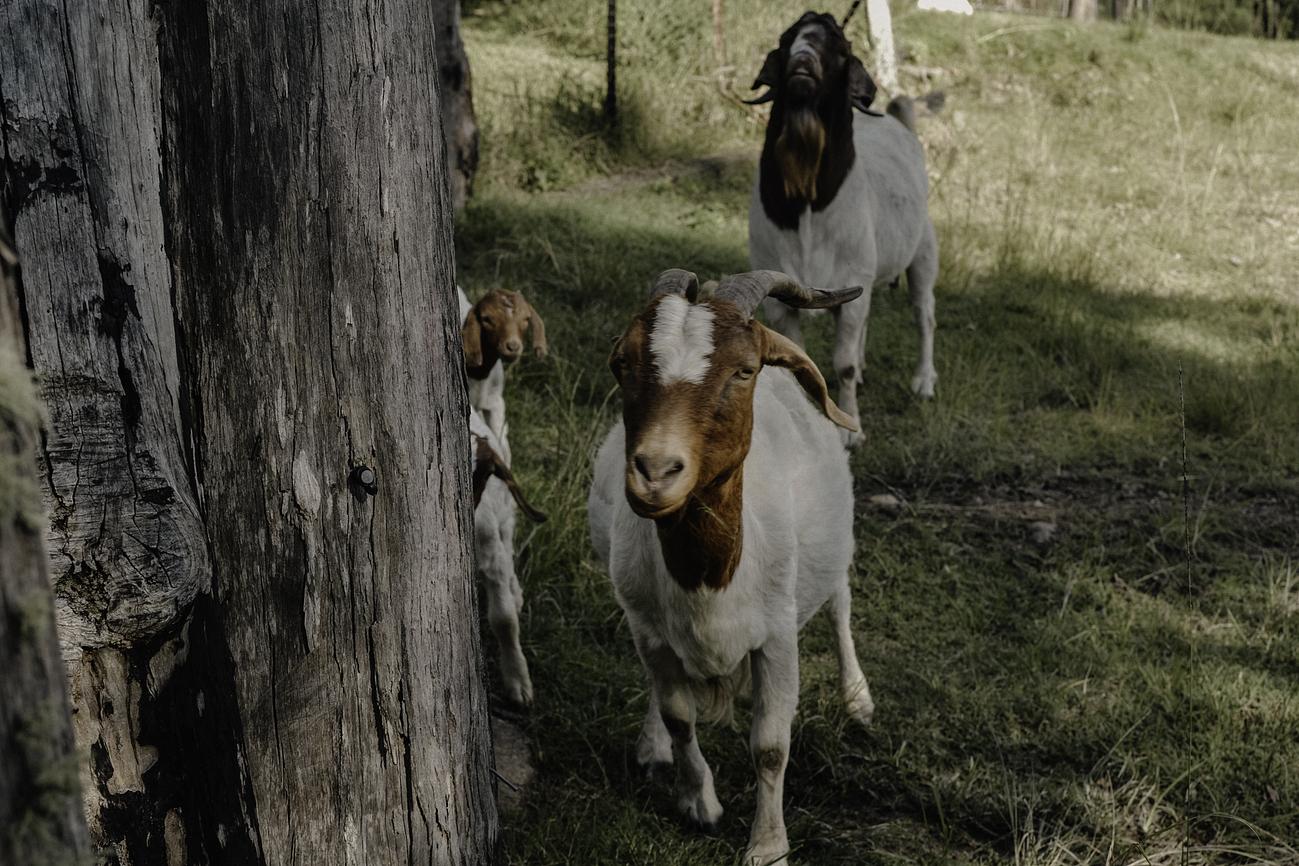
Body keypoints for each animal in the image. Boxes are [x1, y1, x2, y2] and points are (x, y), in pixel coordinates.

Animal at [459, 286, 547, 456]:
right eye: (486, 319)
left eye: (526, 318)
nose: (512, 347)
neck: (480, 375)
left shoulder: (495, 401)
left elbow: (502, 443)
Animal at [470, 407, 546, 706]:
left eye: (478, 476)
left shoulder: (491, 555)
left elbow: (504, 620)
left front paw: (518, 679)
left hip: (504, 518)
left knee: (509, 546)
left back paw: (515, 593)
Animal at [588, 269, 876, 866]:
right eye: (622, 361)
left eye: (744, 370)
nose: (655, 472)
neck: (710, 579)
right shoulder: (649, 629)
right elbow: (678, 714)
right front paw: (698, 802)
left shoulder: (777, 636)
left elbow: (770, 745)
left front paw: (767, 846)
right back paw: (652, 748)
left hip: (835, 541)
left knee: (839, 604)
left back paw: (858, 697)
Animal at [747, 12, 939, 445]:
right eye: (787, 39)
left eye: (839, 45)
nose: (802, 61)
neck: (807, 204)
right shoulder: (781, 299)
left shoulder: (853, 283)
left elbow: (843, 364)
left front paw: (852, 431)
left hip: (922, 253)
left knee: (924, 316)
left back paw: (924, 381)